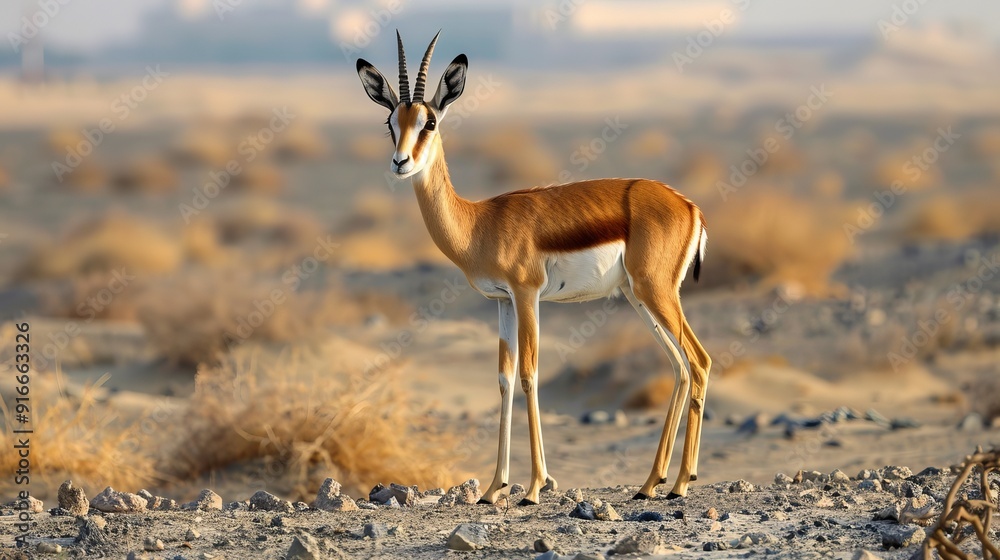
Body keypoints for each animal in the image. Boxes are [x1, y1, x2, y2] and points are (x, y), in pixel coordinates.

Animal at [356, 31, 712, 505]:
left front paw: (534, 487)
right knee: (678, 366)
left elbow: (529, 374)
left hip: (656, 292)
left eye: (429, 123)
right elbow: (504, 380)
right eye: (390, 122)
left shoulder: (527, 295)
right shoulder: (502, 302)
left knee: (699, 362)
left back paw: (680, 483)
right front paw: (493, 489)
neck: (479, 223)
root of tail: (689, 206)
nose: (400, 163)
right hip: (638, 297)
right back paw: (651, 483)